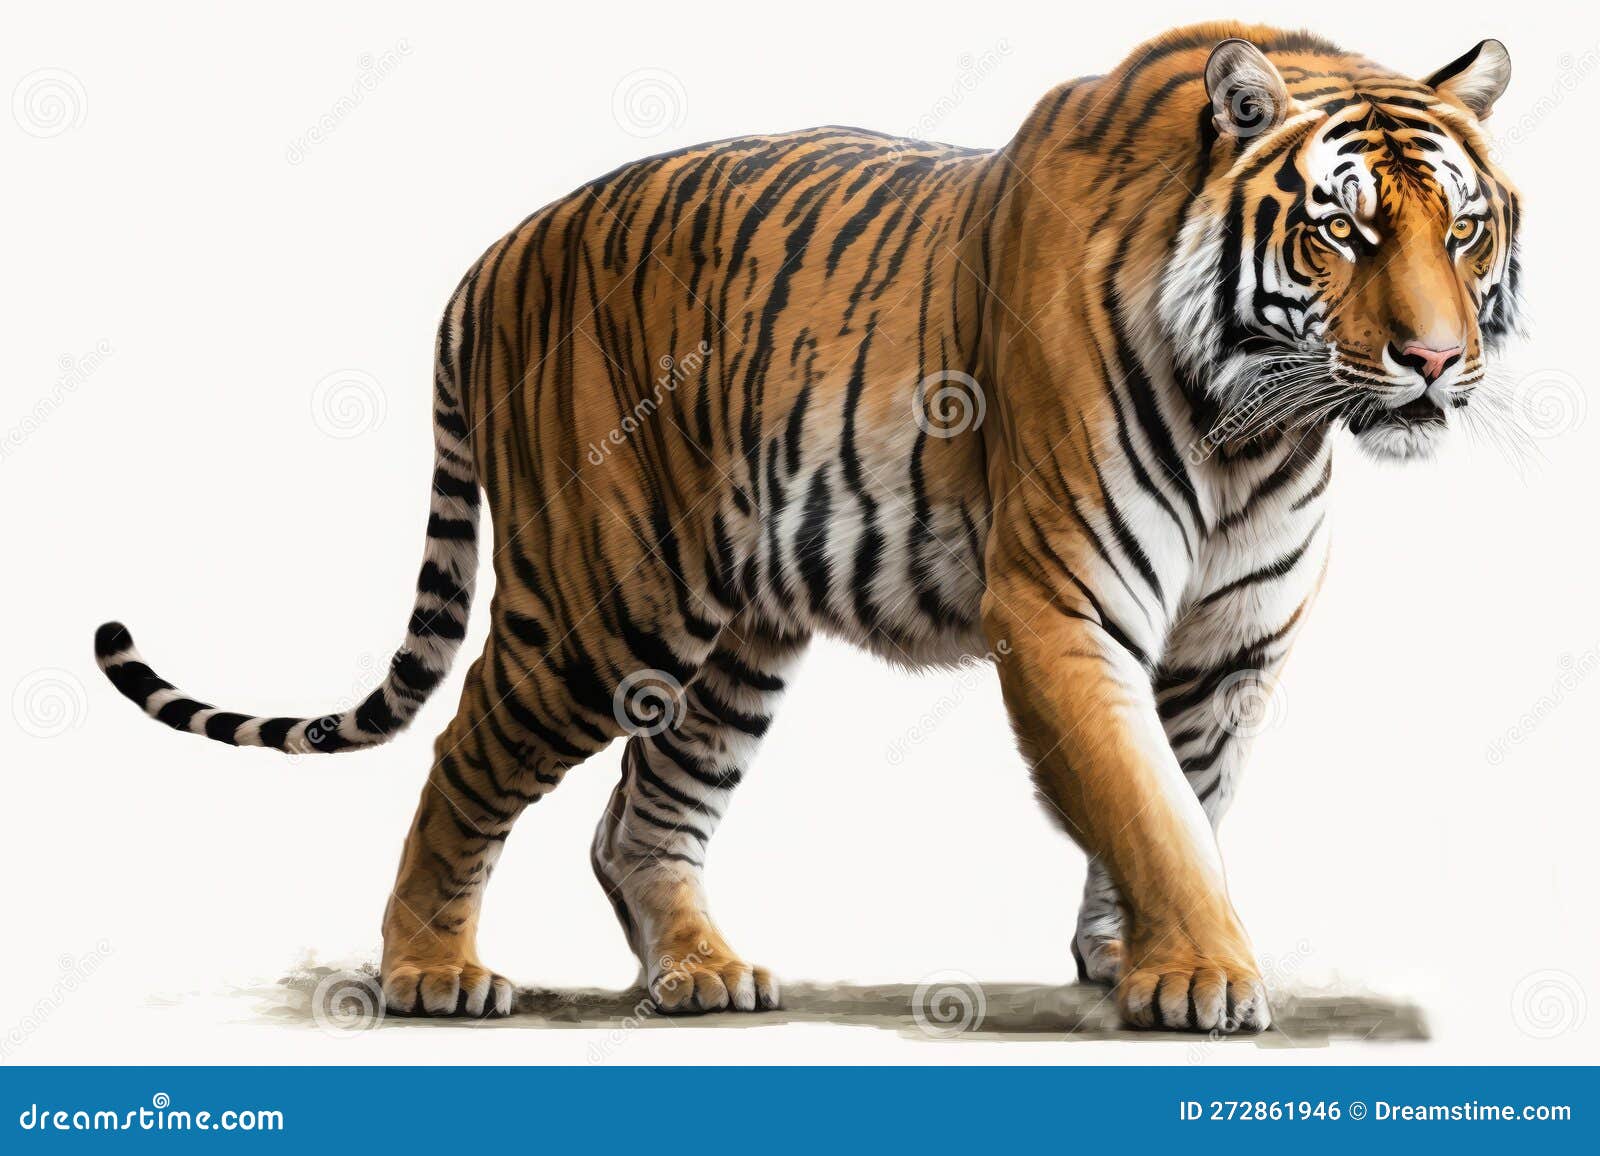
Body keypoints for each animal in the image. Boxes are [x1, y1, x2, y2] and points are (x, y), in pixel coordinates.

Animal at [94, 22, 1521, 1034]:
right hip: (607, 602)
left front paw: (1129, 957)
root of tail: (492, 255)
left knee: (640, 820)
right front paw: (1204, 977)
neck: (1261, 428)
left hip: (730, 637)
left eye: (1462, 228)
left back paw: (699, 974)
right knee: (465, 752)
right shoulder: (1061, 602)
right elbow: (1147, 803)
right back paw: (431, 972)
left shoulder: (1232, 643)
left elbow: (1188, 794)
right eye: (1343, 231)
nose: (1435, 361)